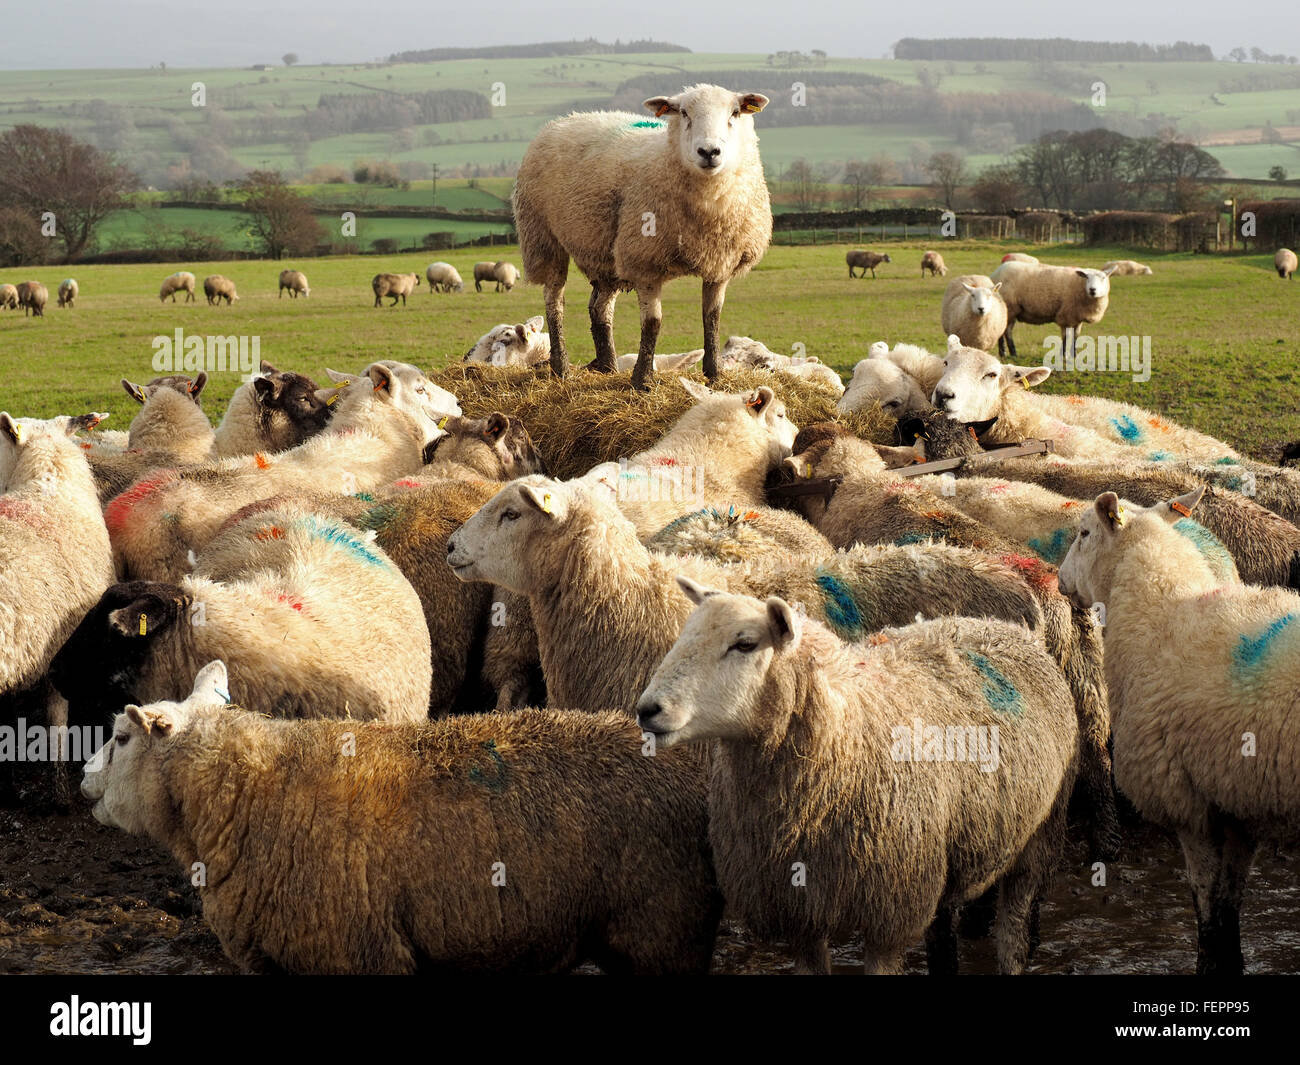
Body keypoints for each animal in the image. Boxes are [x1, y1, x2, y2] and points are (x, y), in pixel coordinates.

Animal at [513, 83, 772, 388]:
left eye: (735, 112)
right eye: (684, 113)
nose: (709, 151)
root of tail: (565, 119)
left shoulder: (720, 263)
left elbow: (712, 318)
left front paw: (714, 374)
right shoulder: (644, 260)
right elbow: (653, 323)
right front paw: (643, 380)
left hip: (607, 253)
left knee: (599, 308)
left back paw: (608, 366)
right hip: (543, 238)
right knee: (555, 302)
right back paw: (561, 367)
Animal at [636, 585, 1078, 974]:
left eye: (744, 644)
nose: (647, 709)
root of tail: (1005, 627)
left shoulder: (889, 916)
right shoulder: (800, 914)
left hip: (1038, 835)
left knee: (1013, 929)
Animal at [1058, 486, 1300, 974]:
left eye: (1085, 533)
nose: (1058, 578)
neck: (1161, 613)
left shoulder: (1187, 803)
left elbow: (1208, 913)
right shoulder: (1235, 805)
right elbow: (1229, 909)